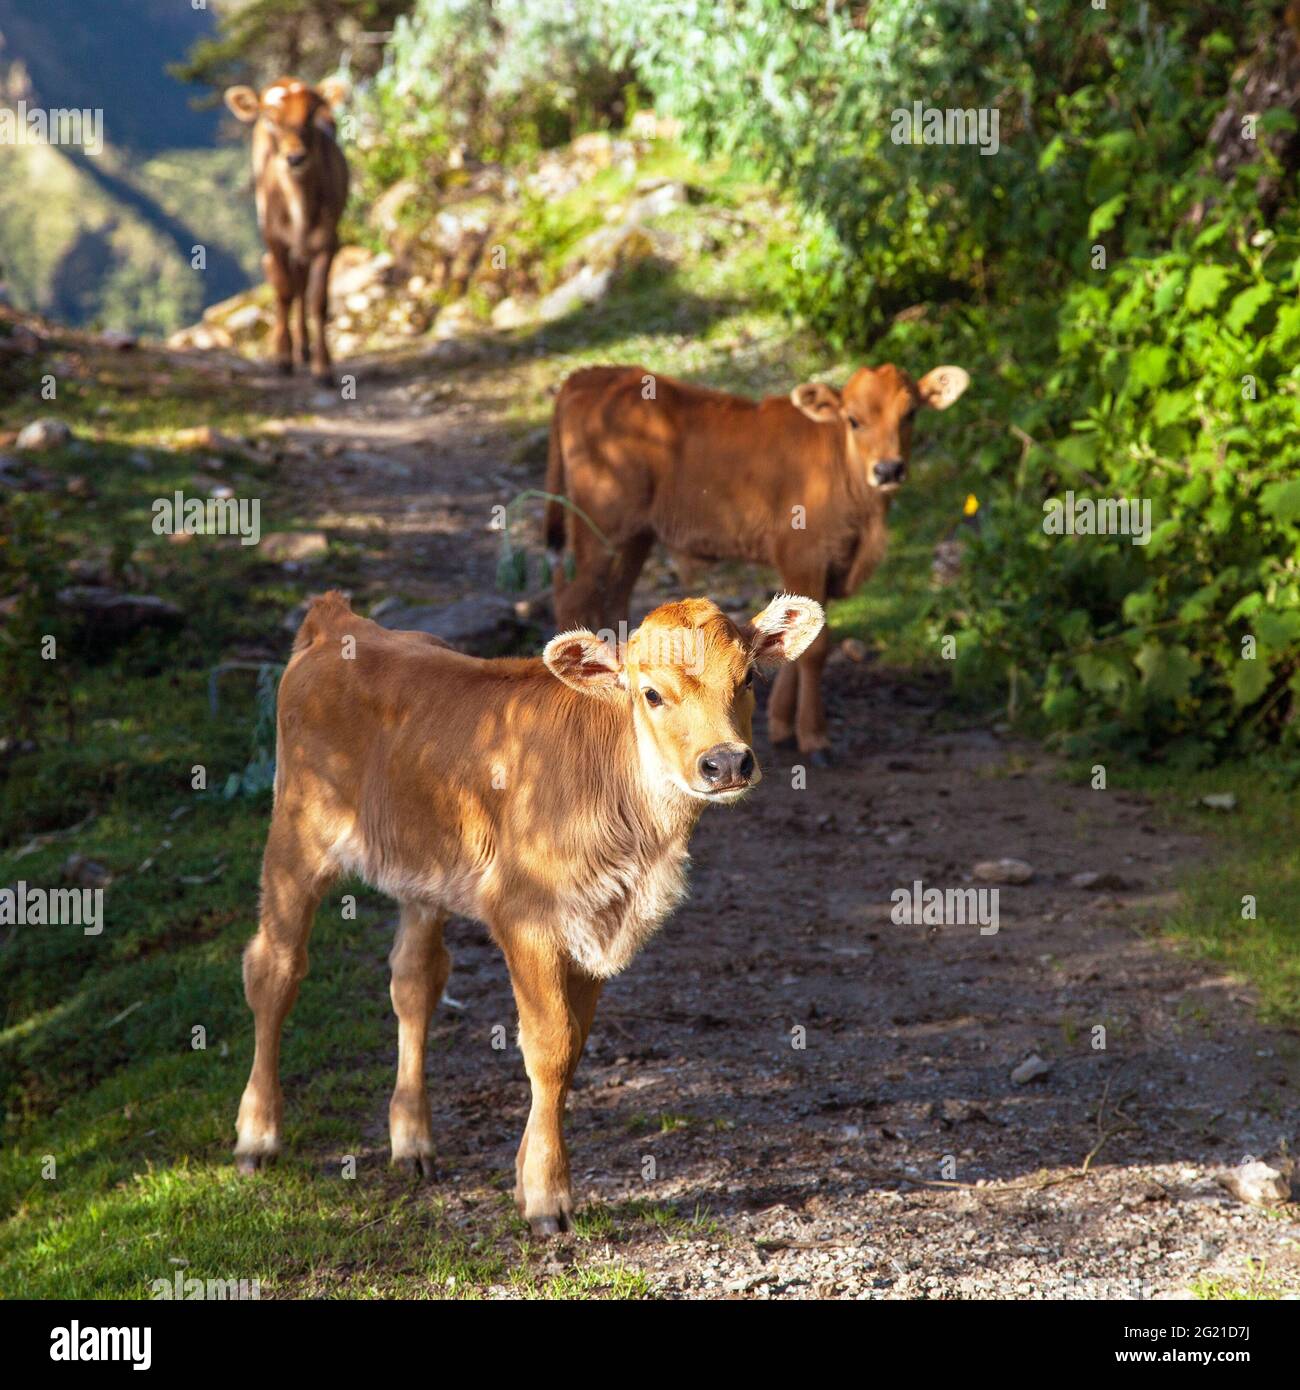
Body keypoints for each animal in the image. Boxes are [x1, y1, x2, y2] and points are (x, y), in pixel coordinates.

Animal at [222, 77, 349, 383]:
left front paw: (323, 366)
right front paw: (282, 357)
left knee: (303, 284)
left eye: (312, 114)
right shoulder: (273, 236)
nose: (295, 158)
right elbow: (283, 291)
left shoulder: (329, 238)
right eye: (270, 117)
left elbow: (318, 299)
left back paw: (304, 348)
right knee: (292, 285)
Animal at [233, 588, 823, 1234]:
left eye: (748, 679)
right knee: (274, 969)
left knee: (414, 981)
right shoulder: (527, 918)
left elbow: (574, 1046)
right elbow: (549, 1045)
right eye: (650, 693)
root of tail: (337, 618)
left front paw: (525, 1179)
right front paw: (547, 1197)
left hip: (423, 873)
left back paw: (412, 1144)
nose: (726, 763)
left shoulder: (599, 924)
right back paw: (257, 1137)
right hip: (296, 838)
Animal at [544, 362, 970, 761]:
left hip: (635, 537)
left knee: (614, 601)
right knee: (572, 595)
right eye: (854, 419)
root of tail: (589, 375)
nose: (888, 469)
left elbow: (793, 642)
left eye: (910, 413)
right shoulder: (803, 556)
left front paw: (781, 724)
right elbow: (815, 649)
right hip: (598, 530)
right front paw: (813, 736)